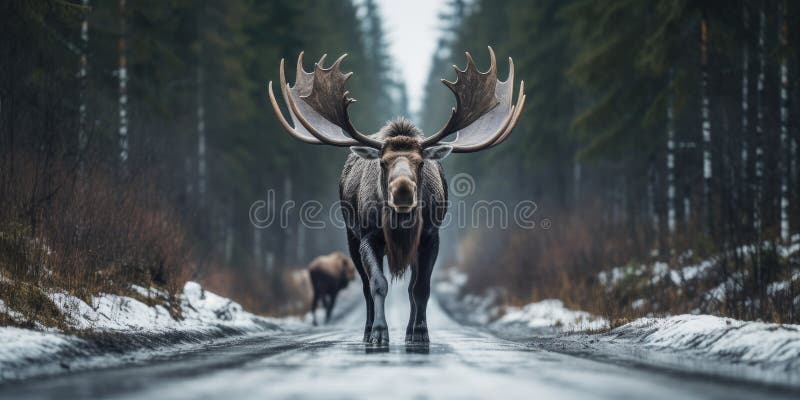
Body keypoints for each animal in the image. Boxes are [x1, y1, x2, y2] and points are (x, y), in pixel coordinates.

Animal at [267, 47, 524, 344]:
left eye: (421, 162)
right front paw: (379, 333)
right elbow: (377, 285)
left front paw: (419, 332)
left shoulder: (430, 237)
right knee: (365, 287)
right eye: (383, 162)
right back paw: (368, 330)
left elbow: (420, 288)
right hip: (351, 238)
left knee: (412, 286)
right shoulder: (368, 236)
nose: (402, 191)